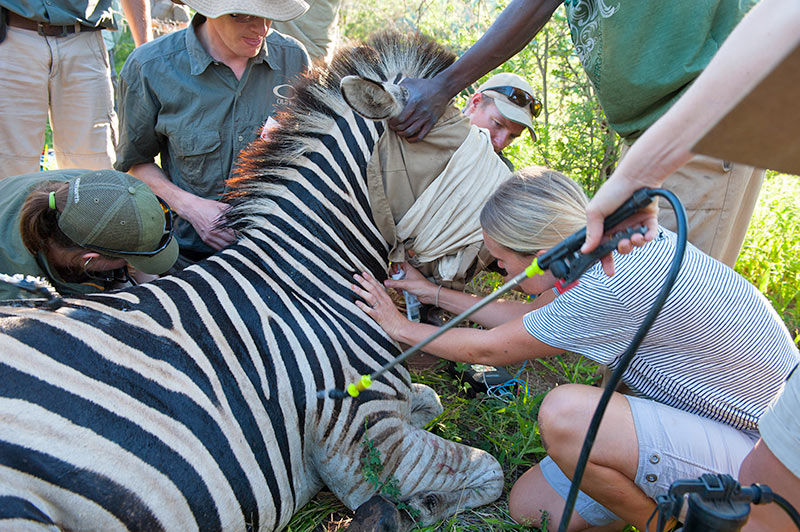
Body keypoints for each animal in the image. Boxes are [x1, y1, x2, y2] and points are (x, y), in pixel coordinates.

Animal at [0, 32, 504, 531]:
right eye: (464, 154)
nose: (499, 261)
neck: (311, 280)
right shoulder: (365, 438)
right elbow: (490, 468)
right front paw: (419, 507)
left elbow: (433, 401)